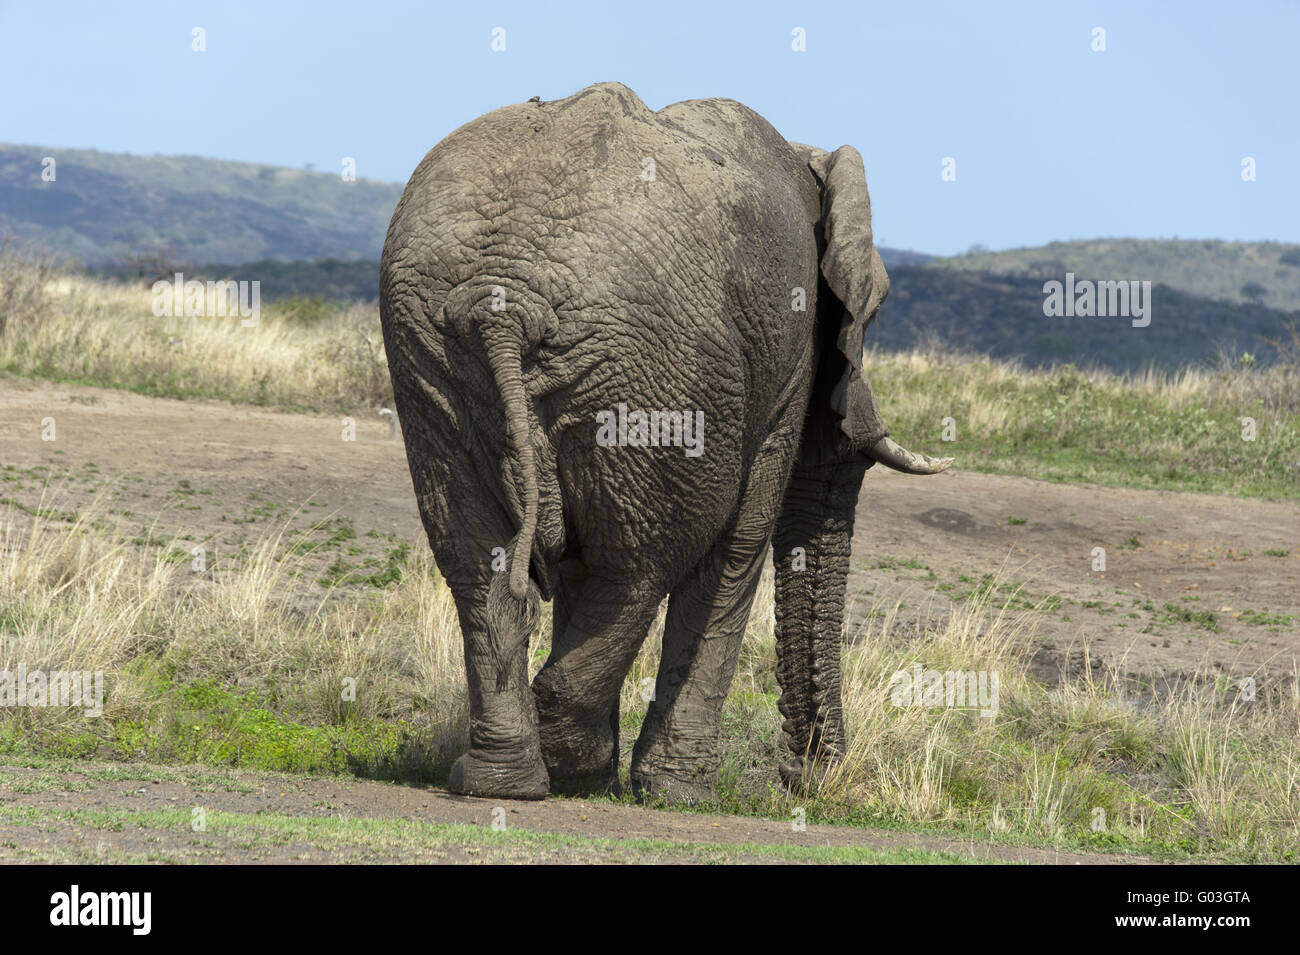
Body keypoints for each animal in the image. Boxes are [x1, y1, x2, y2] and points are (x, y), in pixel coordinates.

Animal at [379, 82, 951, 802]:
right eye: (870, 313)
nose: (806, 777)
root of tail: (503, 305)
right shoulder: (783, 360)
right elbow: (739, 538)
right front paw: (682, 792)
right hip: (655, 370)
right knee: (644, 564)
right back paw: (570, 763)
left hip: (434, 359)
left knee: (478, 558)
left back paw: (503, 780)